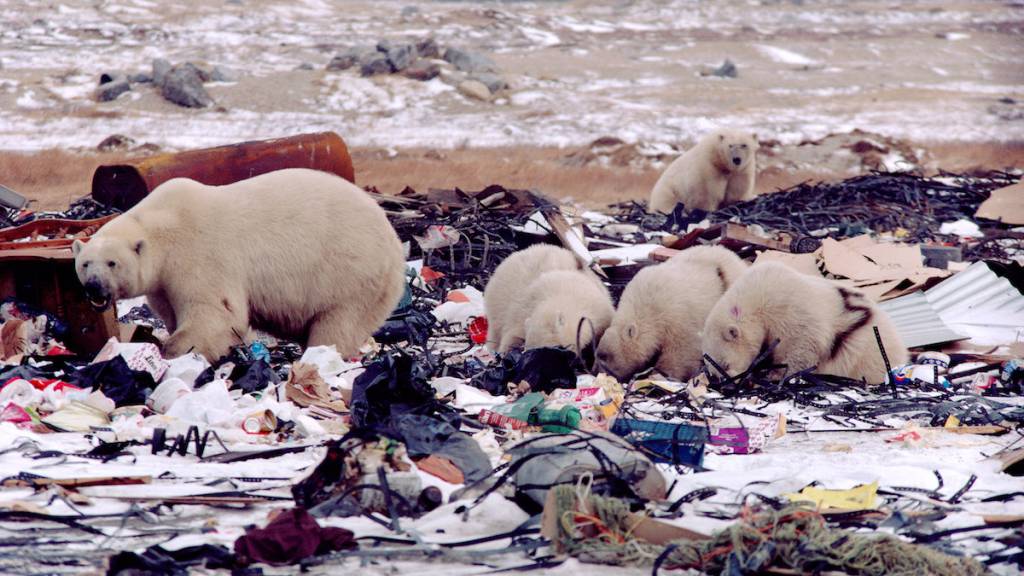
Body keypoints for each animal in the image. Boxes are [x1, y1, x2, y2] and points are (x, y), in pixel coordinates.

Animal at [73, 168, 406, 361]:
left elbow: (216, 313)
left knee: (336, 324)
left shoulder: (198, 255)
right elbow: (170, 309)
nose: (94, 288)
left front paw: (173, 349)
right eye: (85, 264)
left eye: (112, 263)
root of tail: (394, 244)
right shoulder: (163, 282)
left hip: (348, 273)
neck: (163, 226)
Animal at [701, 262, 908, 383]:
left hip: (866, 354)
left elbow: (801, 347)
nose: (723, 384)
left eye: (725, 364)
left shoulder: (791, 311)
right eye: (711, 368)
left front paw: (776, 374)